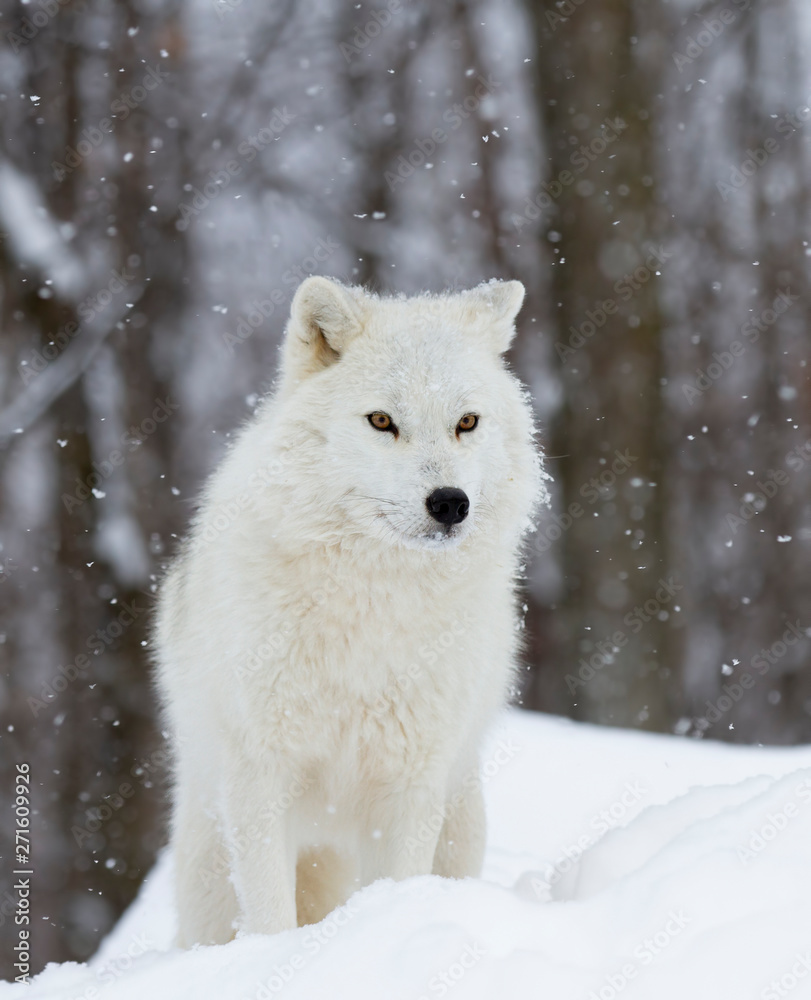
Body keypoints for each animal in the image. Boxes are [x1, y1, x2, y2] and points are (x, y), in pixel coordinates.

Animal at [154, 276, 547, 946]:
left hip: (458, 822)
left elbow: (397, 884)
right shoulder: (261, 776)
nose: (450, 503)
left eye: (467, 422)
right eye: (382, 421)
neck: (372, 605)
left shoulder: (410, 783)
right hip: (210, 865)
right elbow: (269, 915)